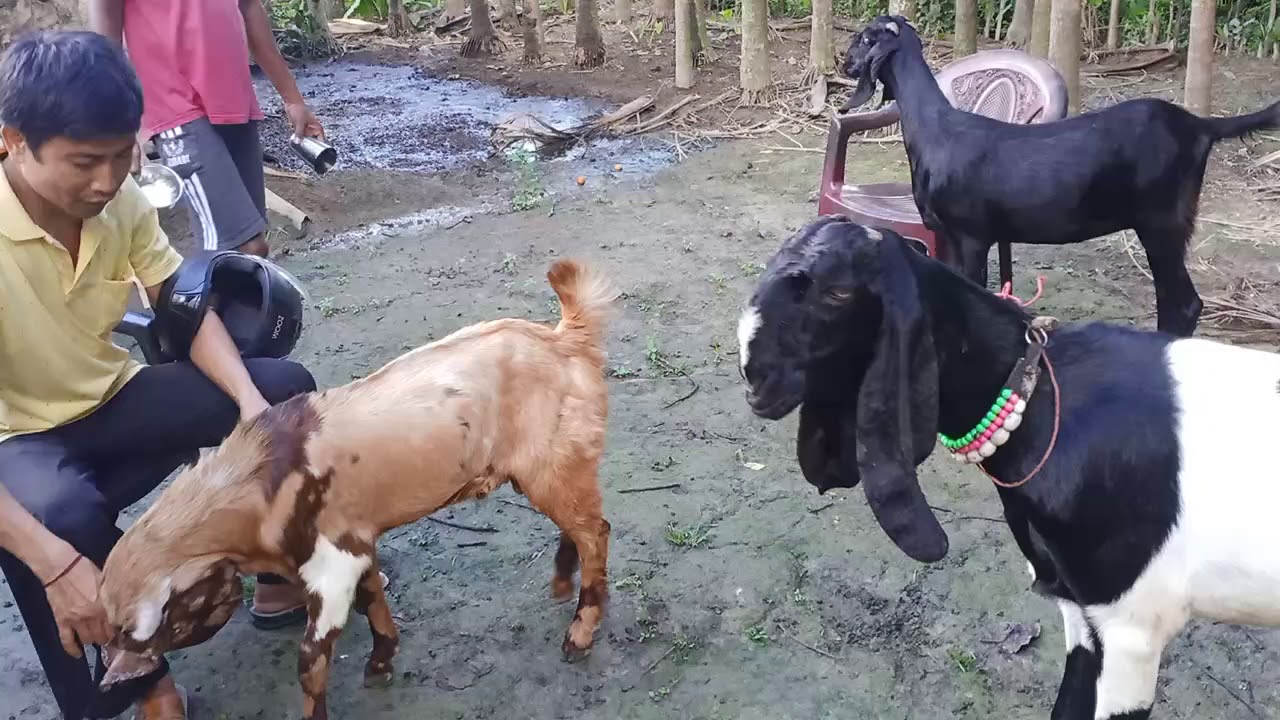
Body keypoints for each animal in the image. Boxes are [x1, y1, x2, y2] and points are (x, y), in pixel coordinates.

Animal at [96, 258, 619, 720]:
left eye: (139, 631)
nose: (111, 680)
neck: (260, 489)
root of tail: (564, 337)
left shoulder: (331, 566)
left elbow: (311, 660)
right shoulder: (356, 539)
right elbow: (372, 600)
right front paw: (382, 661)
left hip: (550, 465)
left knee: (597, 532)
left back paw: (578, 635)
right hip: (554, 469)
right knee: (578, 526)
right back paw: (560, 583)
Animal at [839, 15, 1280, 338]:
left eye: (864, 37)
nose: (843, 61)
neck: (936, 131)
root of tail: (1199, 126)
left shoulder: (971, 236)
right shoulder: (946, 234)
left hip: (1162, 223)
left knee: (1185, 303)